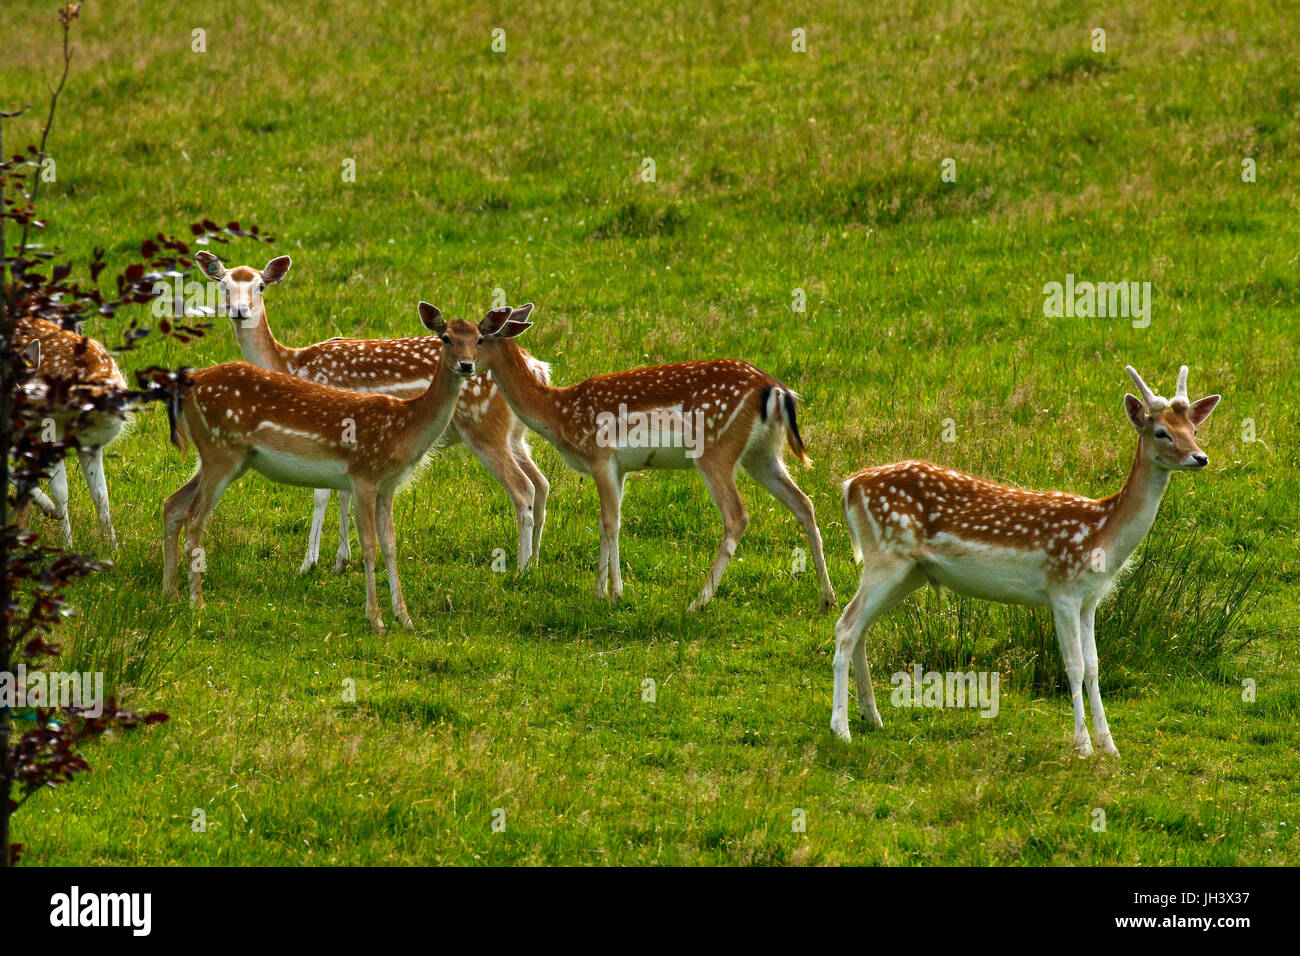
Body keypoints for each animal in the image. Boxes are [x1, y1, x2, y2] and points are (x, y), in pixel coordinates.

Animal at [11, 317, 130, 548]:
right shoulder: (50, 440)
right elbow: (61, 492)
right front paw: (67, 546)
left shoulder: (91, 445)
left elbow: (102, 495)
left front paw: (113, 547)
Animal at [161, 305, 494, 632]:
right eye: (446, 338)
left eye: (479, 339)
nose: (466, 365)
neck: (405, 426)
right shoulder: (363, 475)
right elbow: (369, 545)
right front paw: (376, 620)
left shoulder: (388, 486)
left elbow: (390, 545)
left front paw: (405, 618)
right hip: (220, 450)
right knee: (194, 517)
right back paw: (196, 602)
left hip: (224, 458)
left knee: (172, 503)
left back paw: (170, 593)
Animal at [193, 251, 550, 575]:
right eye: (223, 284)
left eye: (261, 286)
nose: (240, 311)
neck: (291, 364)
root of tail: (539, 368)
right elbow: (343, 492)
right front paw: (341, 560)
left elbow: (322, 494)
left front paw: (311, 563)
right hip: (514, 433)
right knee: (541, 483)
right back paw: (535, 561)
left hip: (483, 426)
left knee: (522, 488)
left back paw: (521, 568)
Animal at [466, 302, 837, 611]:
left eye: (478, 338)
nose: (464, 365)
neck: (558, 411)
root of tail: (775, 390)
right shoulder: (619, 468)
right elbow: (604, 524)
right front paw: (599, 591)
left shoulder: (600, 457)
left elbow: (611, 522)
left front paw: (615, 593)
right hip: (761, 453)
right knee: (804, 503)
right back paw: (827, 598)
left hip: (716, 449)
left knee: (737, 516)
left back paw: (698, 602)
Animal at [830, 365, 1220, 758]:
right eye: (1161, 432)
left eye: (1194, 430)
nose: (1200, 457)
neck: (1101, 535)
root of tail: (850, 486)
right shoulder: (1062, 590)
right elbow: (1074, 666)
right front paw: (1083, 745)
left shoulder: (1090, 599)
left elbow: (1095, 666)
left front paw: (1110, 746)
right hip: (886, 556)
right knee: (846, 625)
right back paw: (841, 730)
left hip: (911, 571)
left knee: (860, 626)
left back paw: (872, 718)